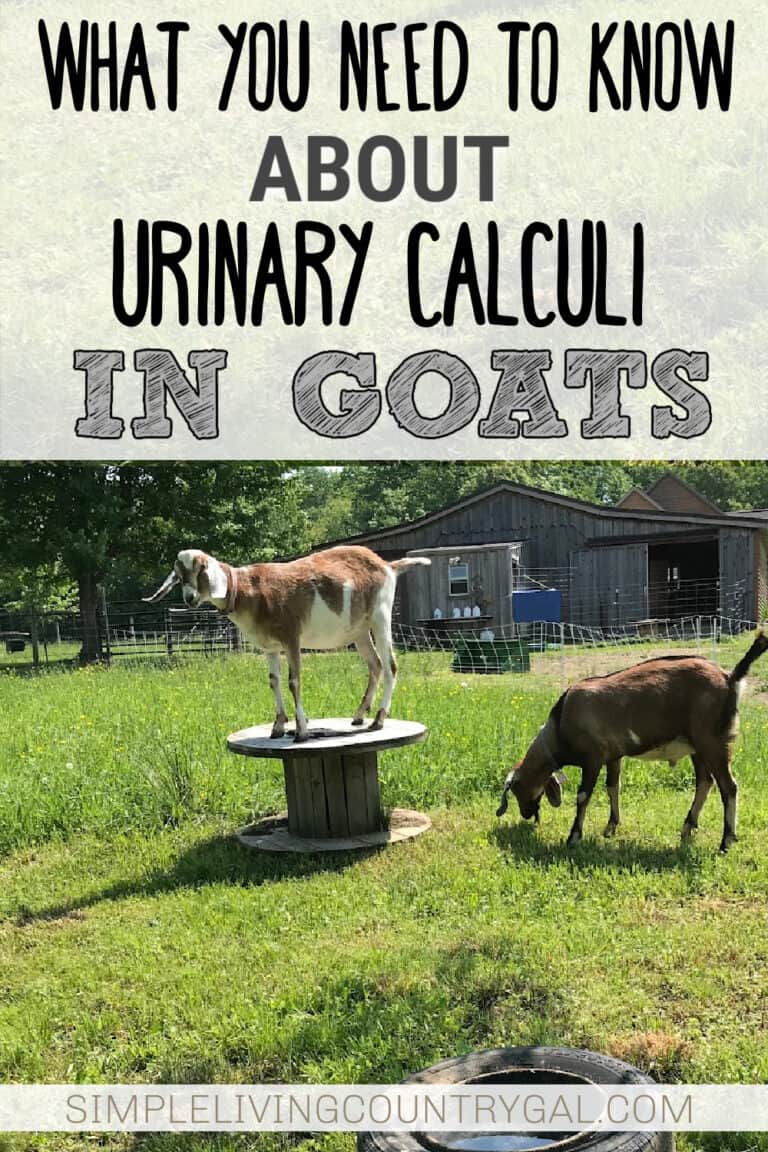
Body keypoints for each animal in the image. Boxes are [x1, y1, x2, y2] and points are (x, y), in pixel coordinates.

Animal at [145, 545, 430, 741]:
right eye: (180, 575)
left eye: (200, 570)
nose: (189, 598)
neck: (250, 591)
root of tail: (388, 565)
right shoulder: (269, 647)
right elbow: (274, 681)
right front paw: (279, 726)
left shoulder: (291, 637)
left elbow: (294, 681)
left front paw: (301, 730)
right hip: (359, 631)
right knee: (375, 665)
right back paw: (360, 715)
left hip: (381, 617)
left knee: (390, 665)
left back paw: (379, 719)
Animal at [496, 631, 768, 852]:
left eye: (516, 788)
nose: (526, 814)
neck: (561, 722)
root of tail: (729, 677)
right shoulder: (613, 756)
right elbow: (612, 787)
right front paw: (610, 827)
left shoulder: (593, 758)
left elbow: (583, 796)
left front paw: (573, 837)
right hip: (697, 746)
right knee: (705, 782)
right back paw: (687, 828)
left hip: (713, 741)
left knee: (728, 786)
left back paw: (726, 841)